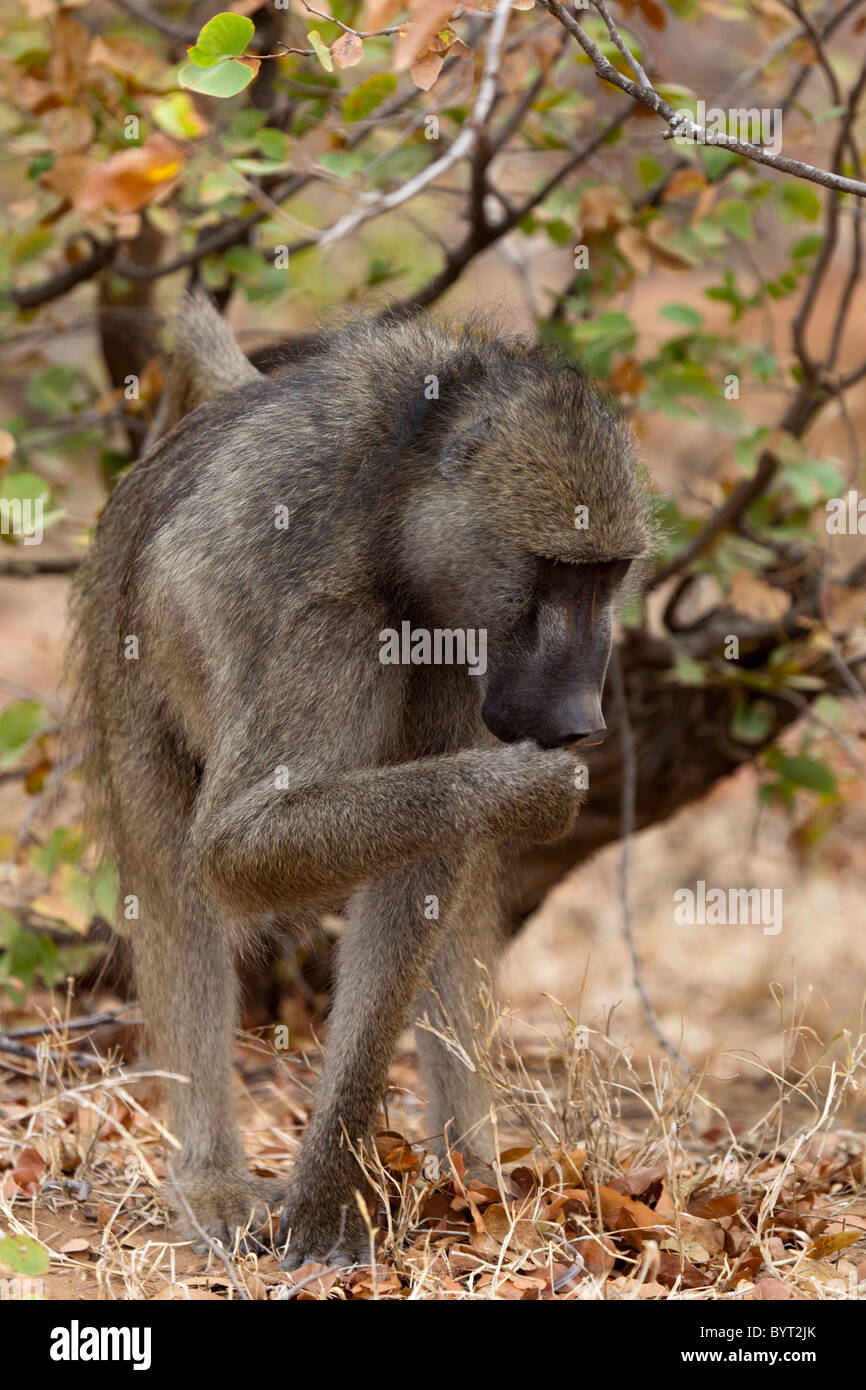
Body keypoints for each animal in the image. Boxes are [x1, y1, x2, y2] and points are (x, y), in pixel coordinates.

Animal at [68, 294, 652, 1268]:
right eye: (557, 571)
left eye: (608, 574)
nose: (580, 720)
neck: (399, 509)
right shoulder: (326, 626)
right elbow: (237, 850)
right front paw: (528, 789)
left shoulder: (466, 661)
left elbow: (422, 882)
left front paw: (334, 1191)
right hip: (125, 630)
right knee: (176, 880)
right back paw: (210, 1181)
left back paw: (476, 1174)